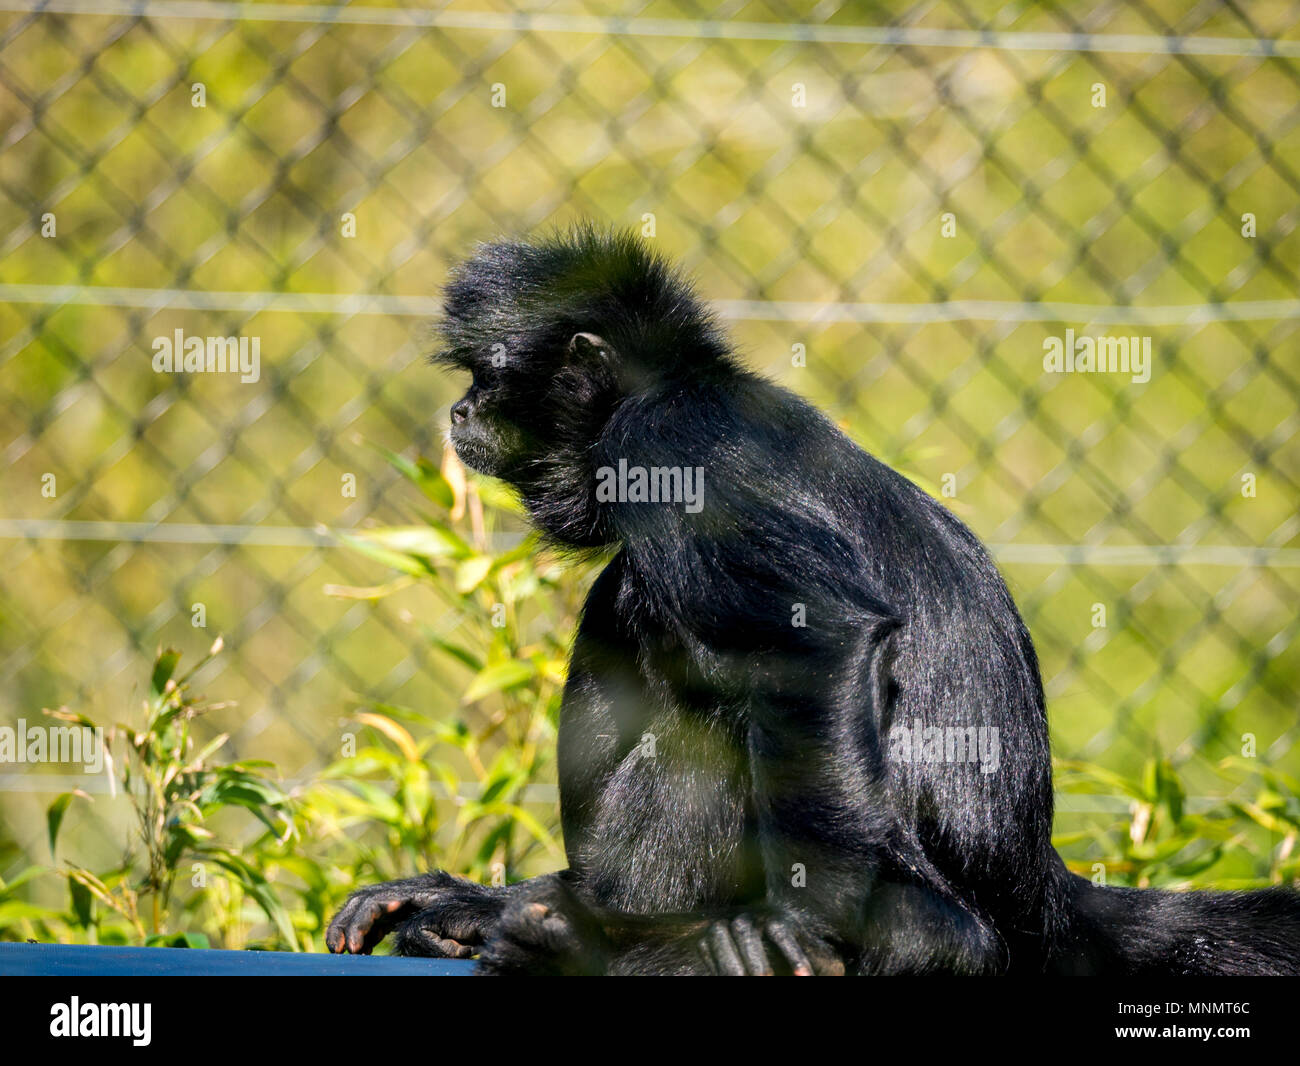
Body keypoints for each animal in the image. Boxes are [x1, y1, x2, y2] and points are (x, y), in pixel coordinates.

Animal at [326, 225, 1300, 975]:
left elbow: (817, 643)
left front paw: (800, 929)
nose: (459, 411)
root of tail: (1039, 890)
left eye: (484, 381)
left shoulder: (669, 447)